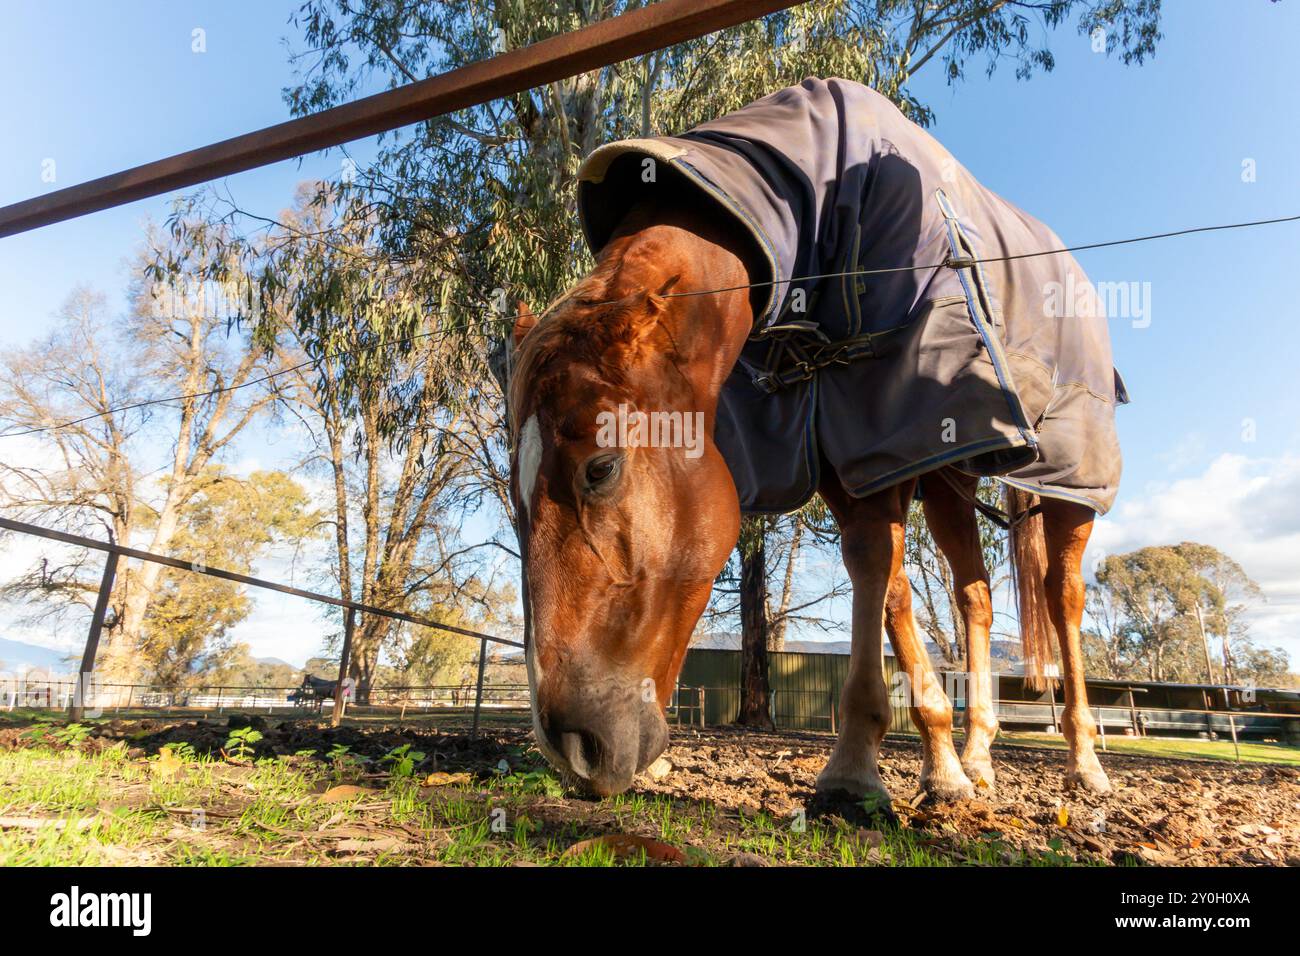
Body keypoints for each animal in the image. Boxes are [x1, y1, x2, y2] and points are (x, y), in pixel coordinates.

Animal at [508, 79, 1120, 800]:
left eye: (600, 468)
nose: (568, 745)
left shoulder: (887, 425)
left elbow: (876, 566)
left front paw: (856, 770)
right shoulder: (848, 448)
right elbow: (887, 581)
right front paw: (932, 762)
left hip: (1067, 479)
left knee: (1062, 596)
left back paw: (1084, 759)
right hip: (952, 474)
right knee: (975, 595)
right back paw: (976, 756)